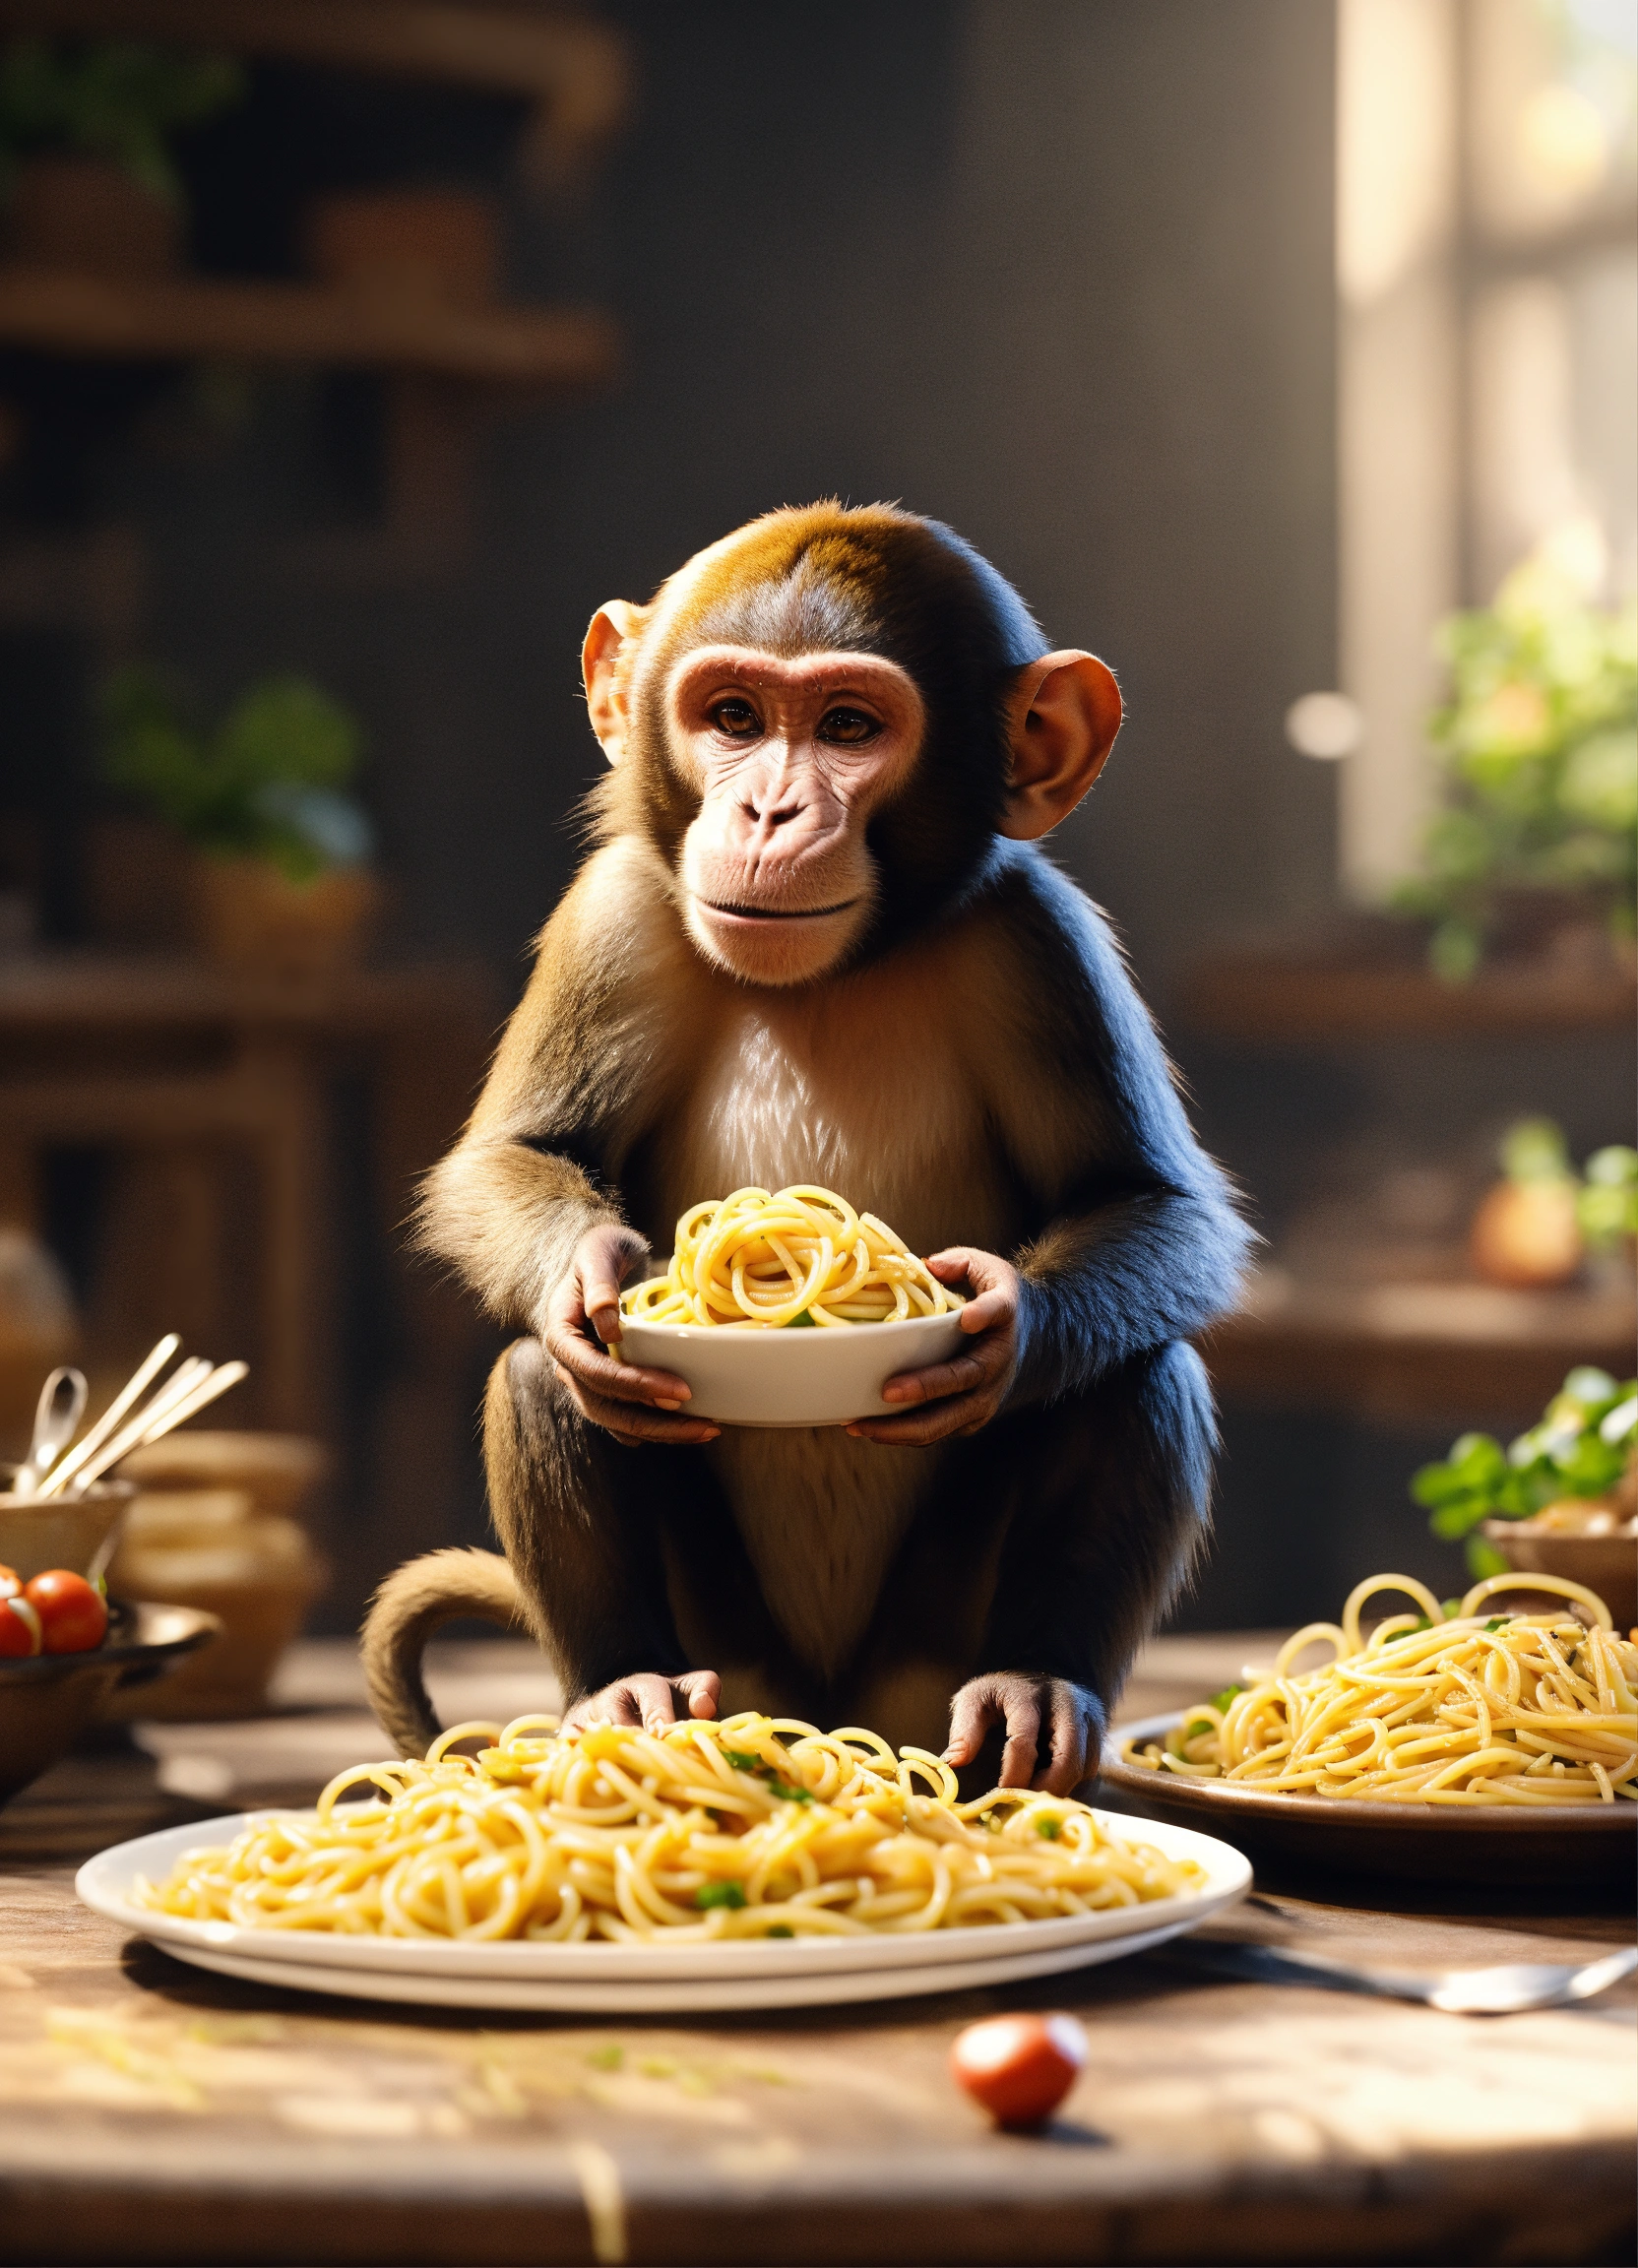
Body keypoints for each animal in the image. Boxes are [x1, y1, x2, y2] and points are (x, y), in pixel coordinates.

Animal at [364, 501, 1251, 1796]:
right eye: (733, 717)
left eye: (846, 728)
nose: (771, 812)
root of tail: (824, 1711)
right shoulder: (616, 913)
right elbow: (520, 1155)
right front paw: (592, 1283)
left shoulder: (1039, 943)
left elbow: (1145, 1202)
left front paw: (999, 1333)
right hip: (732, 1653)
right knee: (540, 1374)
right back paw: (626, 1683)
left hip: (922, 1664)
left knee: (1138, 1369)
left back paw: (1035, 1687)